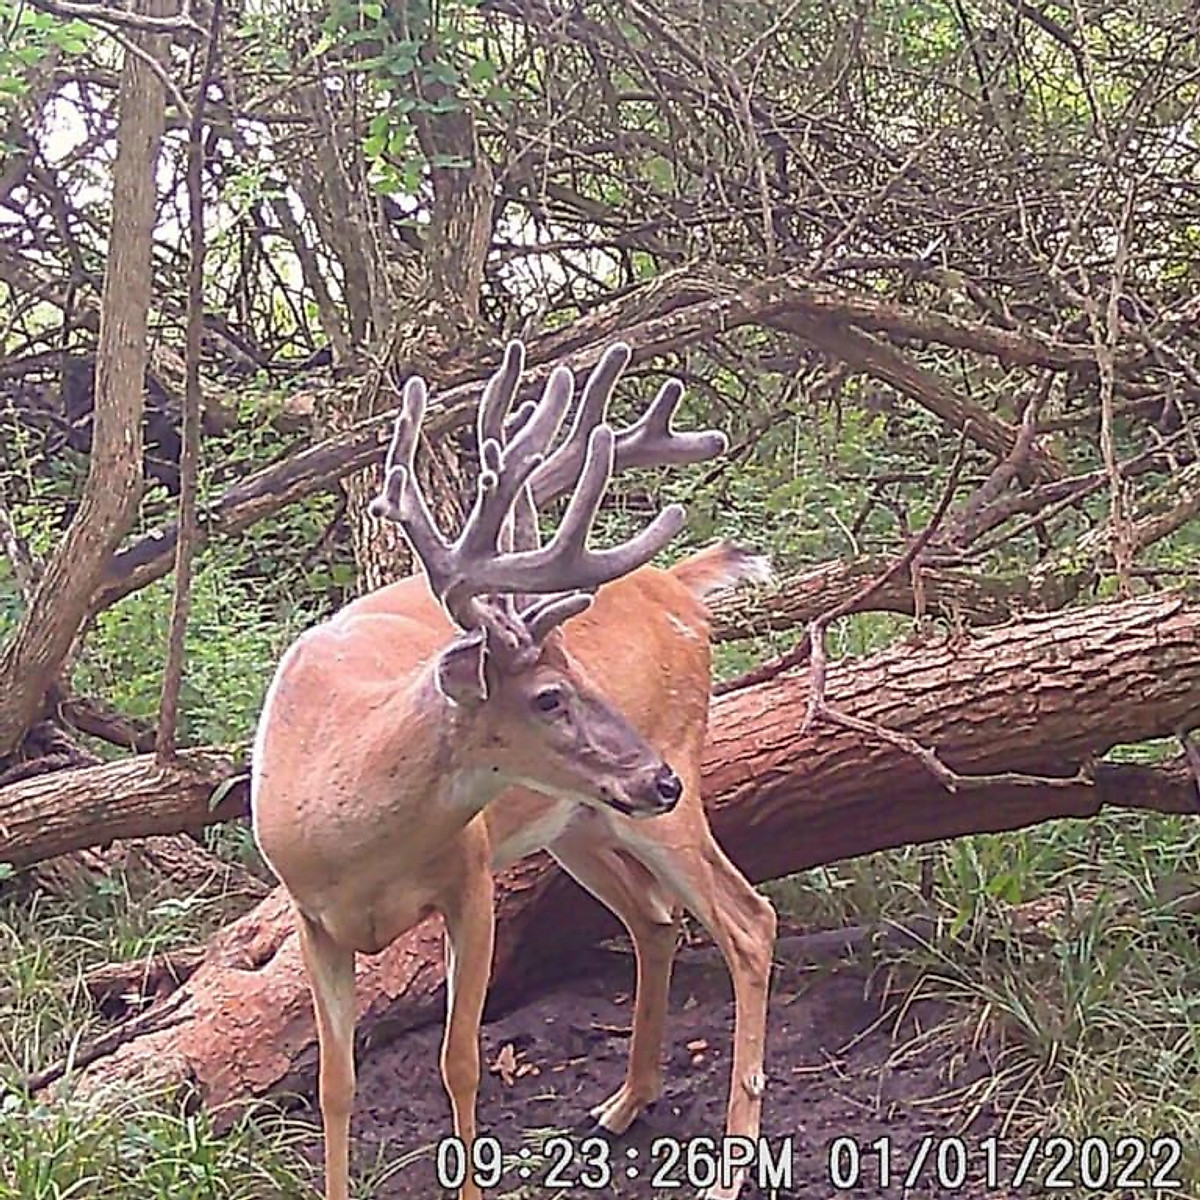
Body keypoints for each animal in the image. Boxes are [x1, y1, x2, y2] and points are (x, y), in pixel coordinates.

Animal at [251, 340, 777, 1200]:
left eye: (580, 676)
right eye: (550, 696)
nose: (656, 777)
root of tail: (678, 587)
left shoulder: (470, 882)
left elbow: (460, 1063)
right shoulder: (311, 917)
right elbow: (335, 1084)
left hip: (672, 775)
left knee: (748, 921)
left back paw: (728, 1168)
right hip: (581, 819)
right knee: (655, 918)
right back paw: (625, 1103)